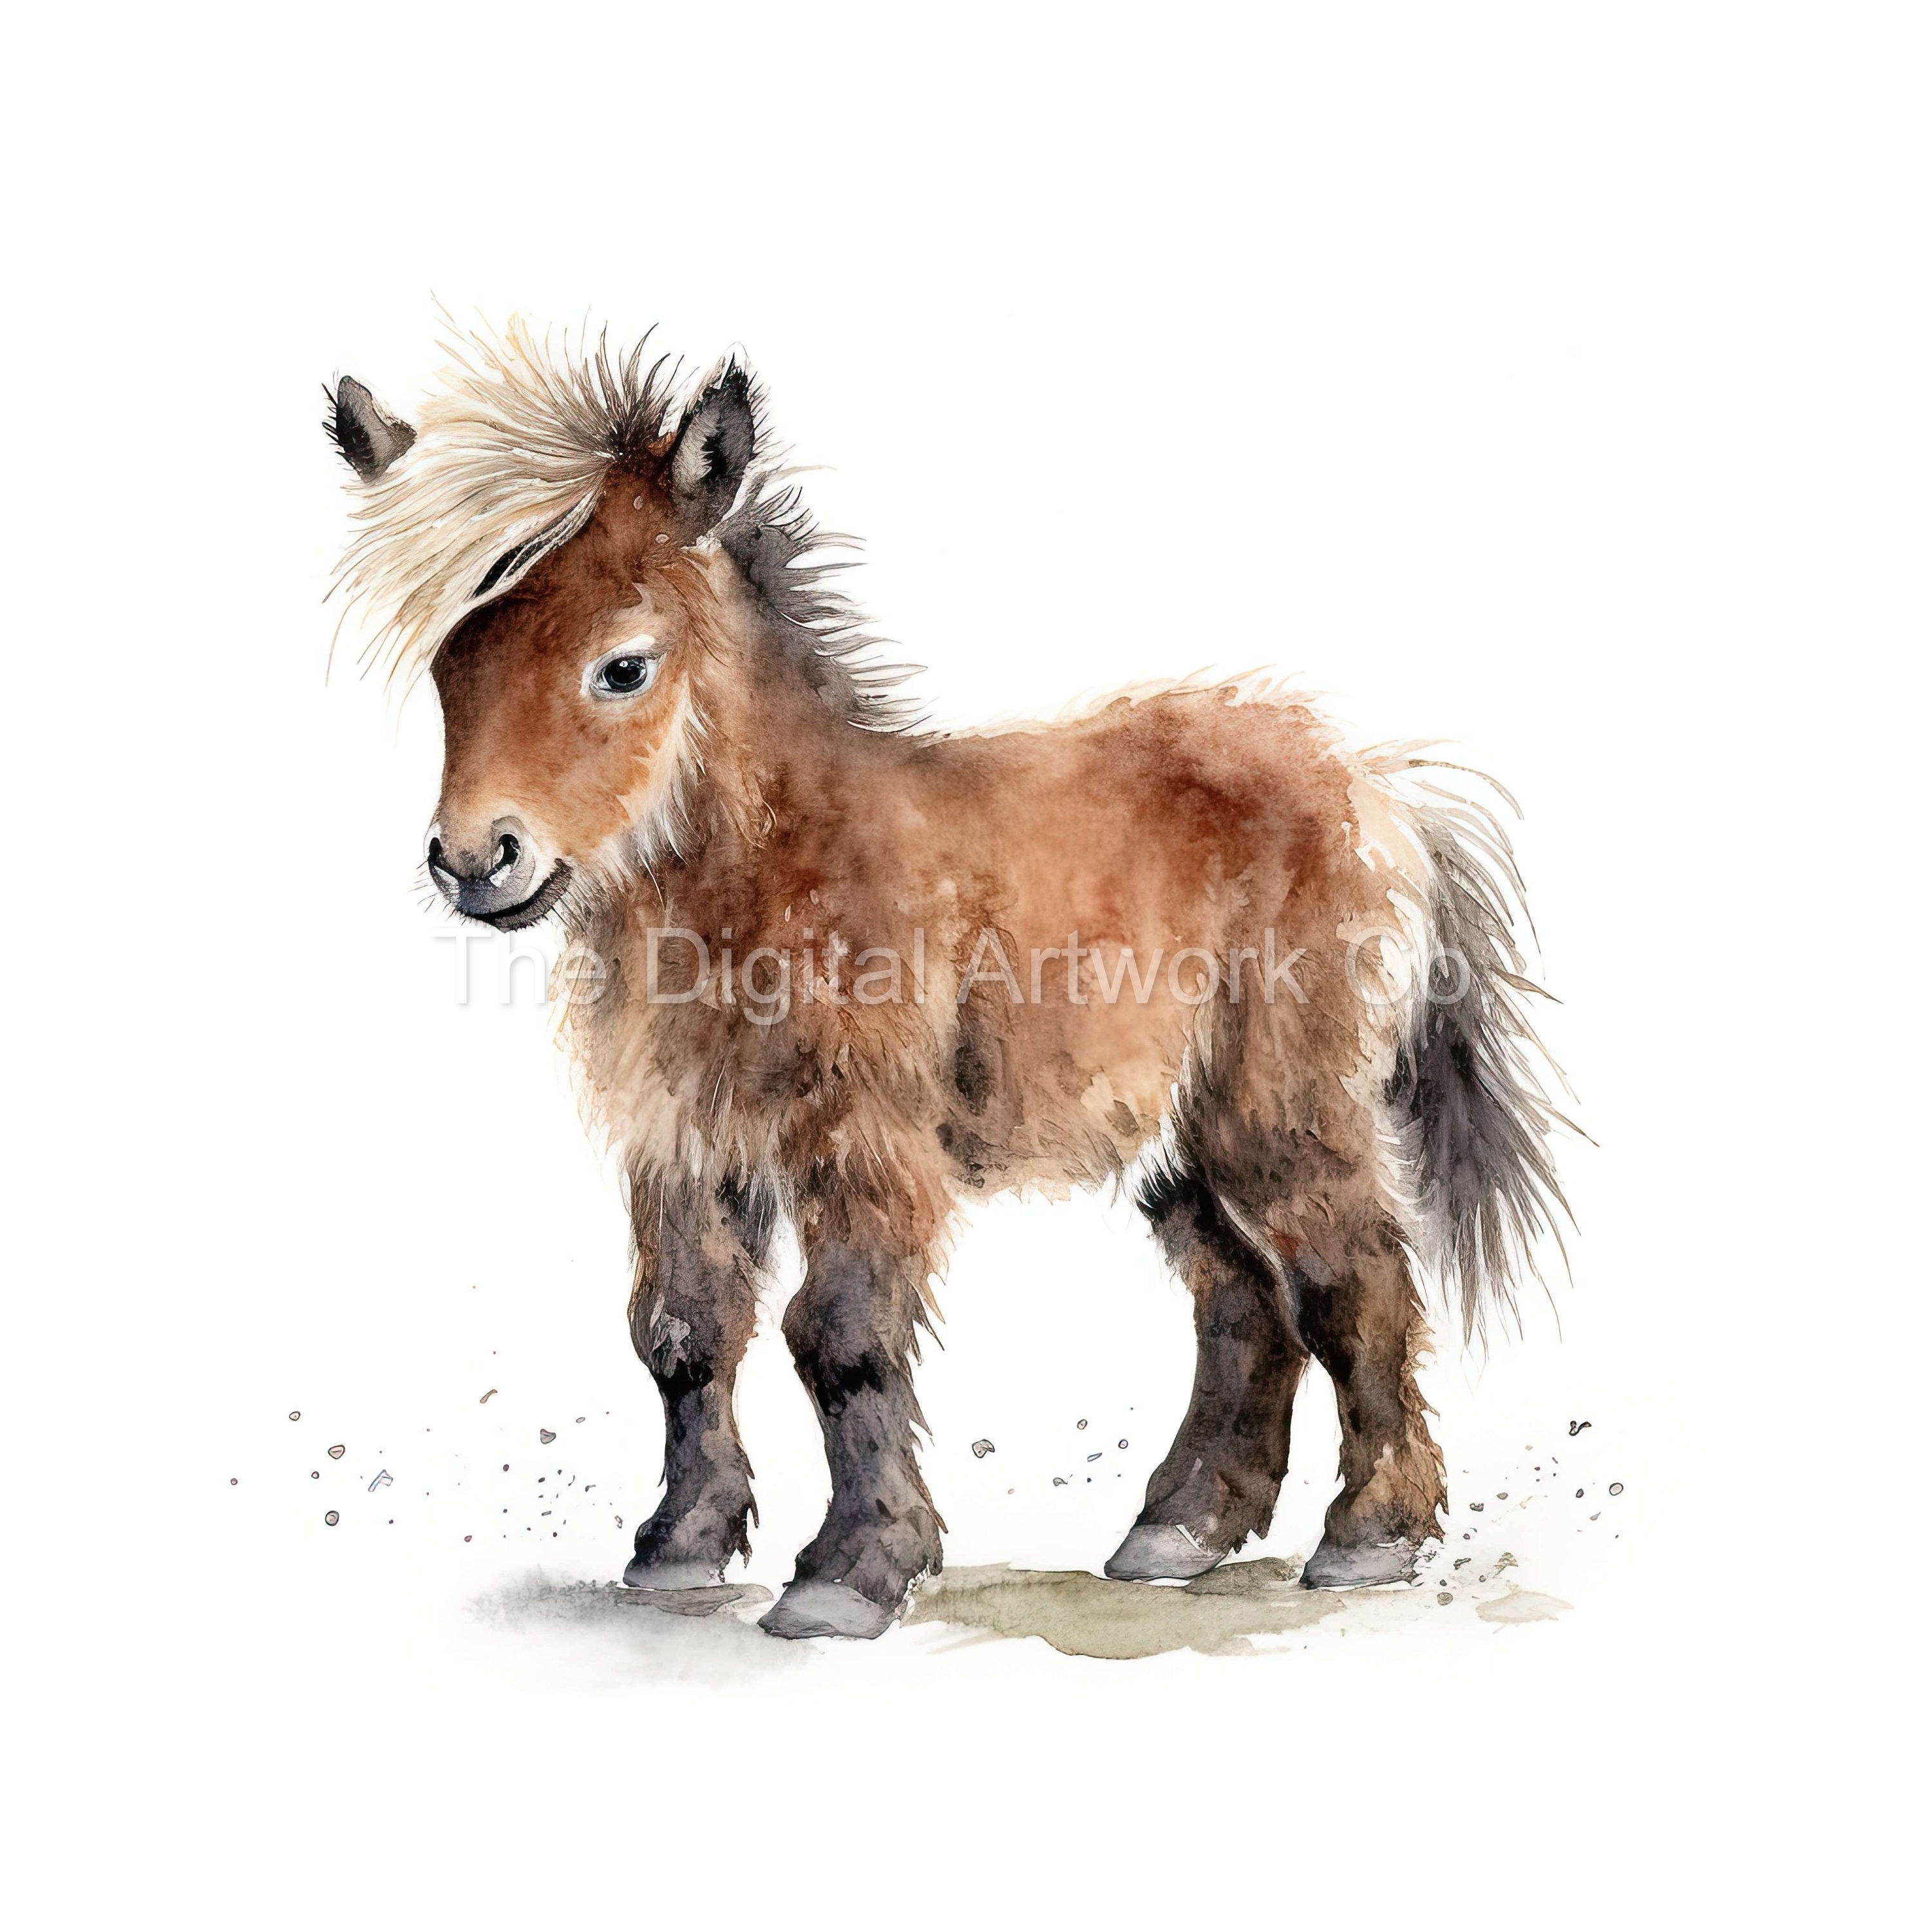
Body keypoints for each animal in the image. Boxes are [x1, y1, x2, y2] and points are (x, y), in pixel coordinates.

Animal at [327, 322, 1569, 1640]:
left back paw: (1370, 1538)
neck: (774, 872)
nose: (477, 860)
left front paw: (851, 1572)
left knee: (1353, 1283)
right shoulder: (685, 1142)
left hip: (1279, 1108)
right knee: (1242, 1303)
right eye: (452, 662)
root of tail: (1374, 781)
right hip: (1181, 1139)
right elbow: (681, 1333)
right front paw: (681, 1546)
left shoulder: (863, 1143)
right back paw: (1180, 1530)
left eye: (622, 668)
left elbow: (844, 1340)